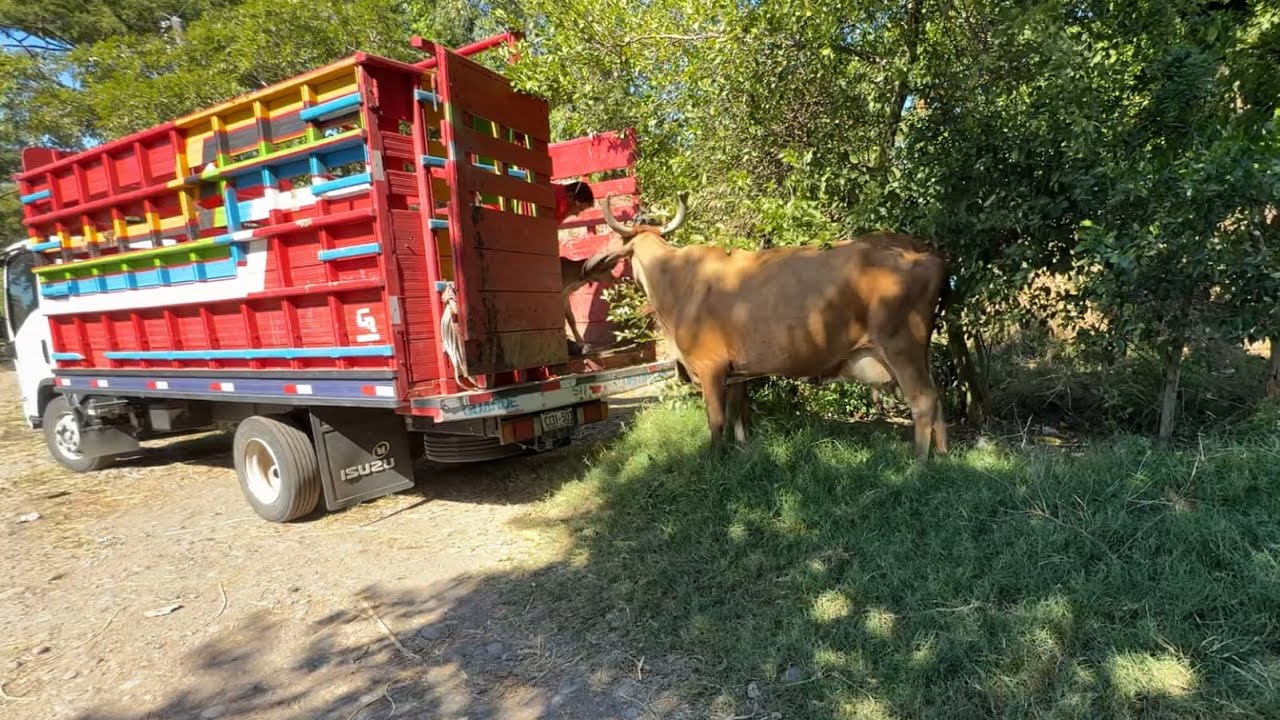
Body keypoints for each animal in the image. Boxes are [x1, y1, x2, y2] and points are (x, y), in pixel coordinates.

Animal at [583, 193, 950, 461]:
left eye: (612, 238)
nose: (589, 262)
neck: (674, 279)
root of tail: (925, 251)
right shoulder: (736, 372)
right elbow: (739, 415)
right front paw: (743, 452)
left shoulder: (710, 367)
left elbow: (716, 420)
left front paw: (712, 460)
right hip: (920, 350)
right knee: (937, 398)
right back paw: (944, 457)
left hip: (901, 345)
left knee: (923, 400)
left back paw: (918, 463)